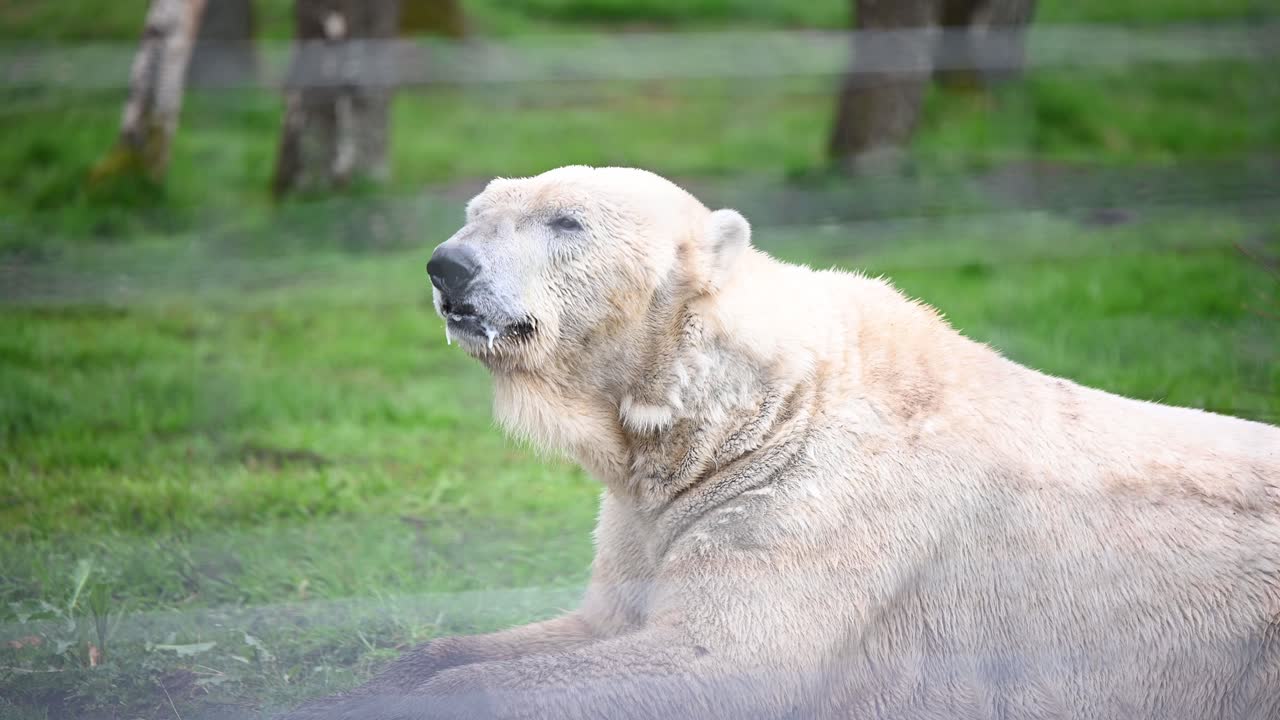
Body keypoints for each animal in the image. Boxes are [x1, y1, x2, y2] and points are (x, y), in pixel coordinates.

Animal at [278, 165, 1280, 720]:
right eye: (480, 209)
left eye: (566, 221)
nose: (448, 266)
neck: (745, 414)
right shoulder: (649, 515)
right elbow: (591, 621)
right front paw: (358, 689)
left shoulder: (810, 507)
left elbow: (720, 658)